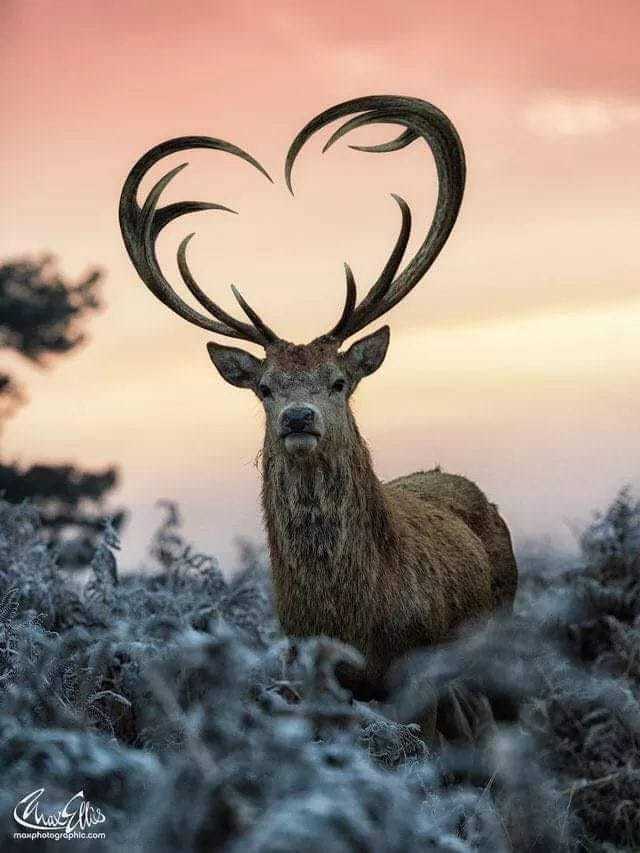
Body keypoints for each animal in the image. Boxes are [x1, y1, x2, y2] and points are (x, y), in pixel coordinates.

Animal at [119, 95, 518, 718]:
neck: (355, 624)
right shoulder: (306, 675)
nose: (298, 417)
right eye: (265, 388)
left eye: (338, 381)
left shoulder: (419, 676)